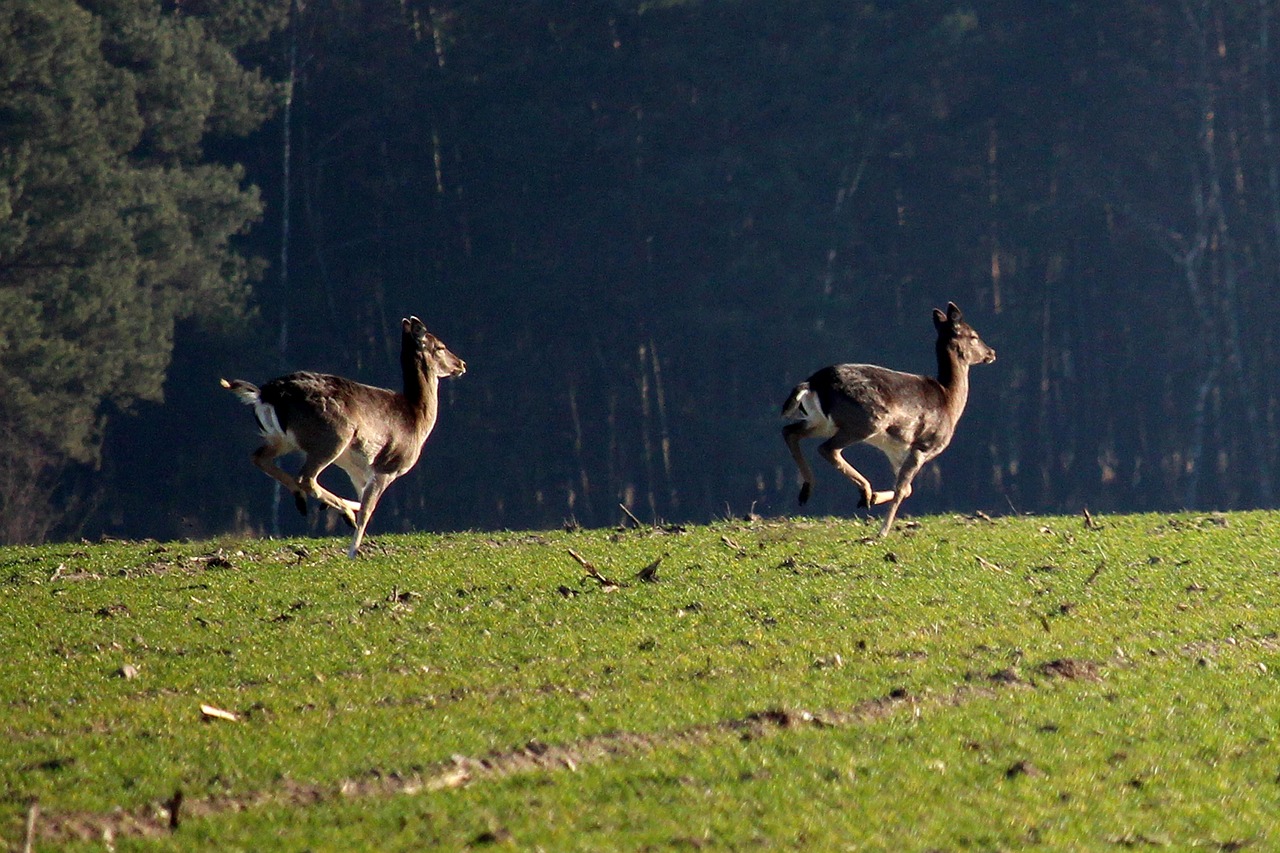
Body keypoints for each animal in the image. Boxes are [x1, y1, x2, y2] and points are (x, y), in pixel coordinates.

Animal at [221, 316, 465, 558]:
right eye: (440, 346)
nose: (461, 364)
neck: (417, 419)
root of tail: (265, 394)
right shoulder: (386, 466)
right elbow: (368, 509)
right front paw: (353, 552)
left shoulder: (358, 470)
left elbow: (364, 500)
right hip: (332, 438)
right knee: (306, 477)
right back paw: (340, 511)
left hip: (281, 439)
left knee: (259, 457)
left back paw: (308, 501)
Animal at [781, 302, 995, 537]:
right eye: (974, 335)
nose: (991, 353)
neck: (949, 401)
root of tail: (812, 383)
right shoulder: (923, 445)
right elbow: (902, 489)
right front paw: (882, 531)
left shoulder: (895, 449)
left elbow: (907, 489)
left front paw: (876, 500)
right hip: (864, 420)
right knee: (826, 448)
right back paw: (864, 492)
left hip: (822, 422)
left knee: (790, 432)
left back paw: (809, 491)